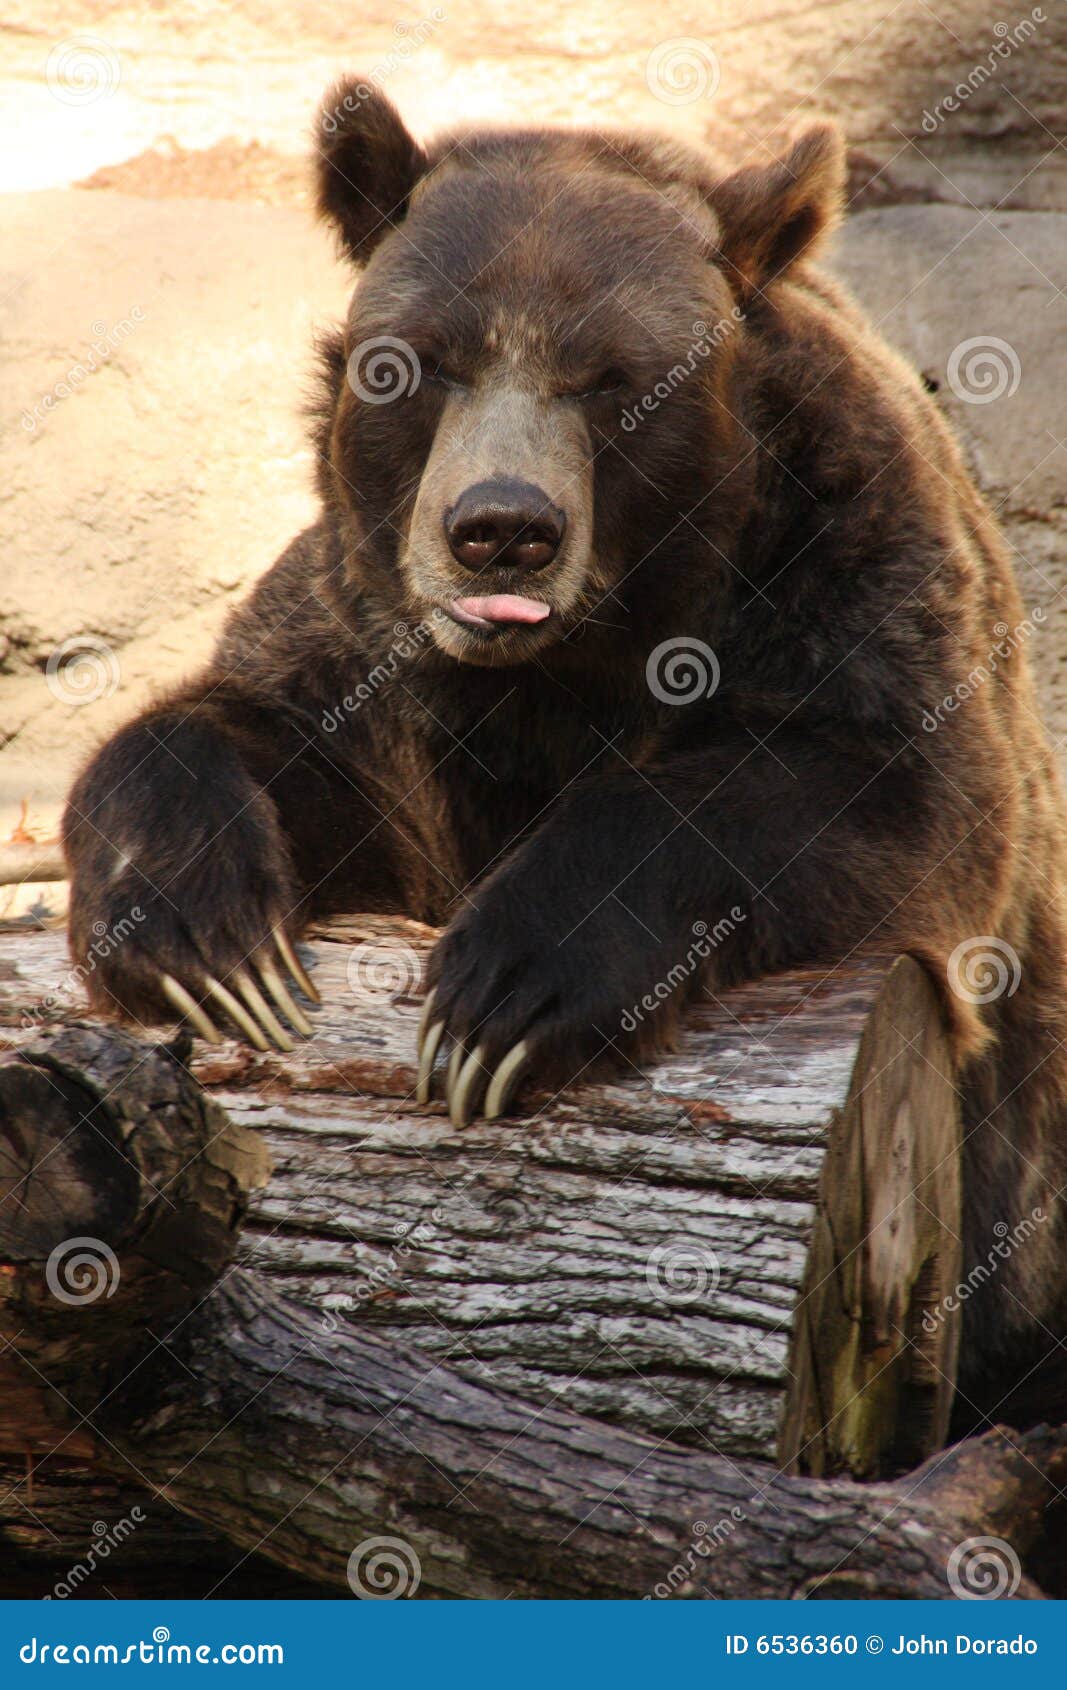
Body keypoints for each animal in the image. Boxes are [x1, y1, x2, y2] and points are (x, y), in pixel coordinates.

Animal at [63, 77, 1067, 1427]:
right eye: (418, 361)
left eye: (610, 377)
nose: (500, 528)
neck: (575, 663)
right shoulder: (379, 668)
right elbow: (254, 741)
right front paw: (205, 941)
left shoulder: (852, 586)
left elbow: (880, 798)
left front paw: (503, 993)